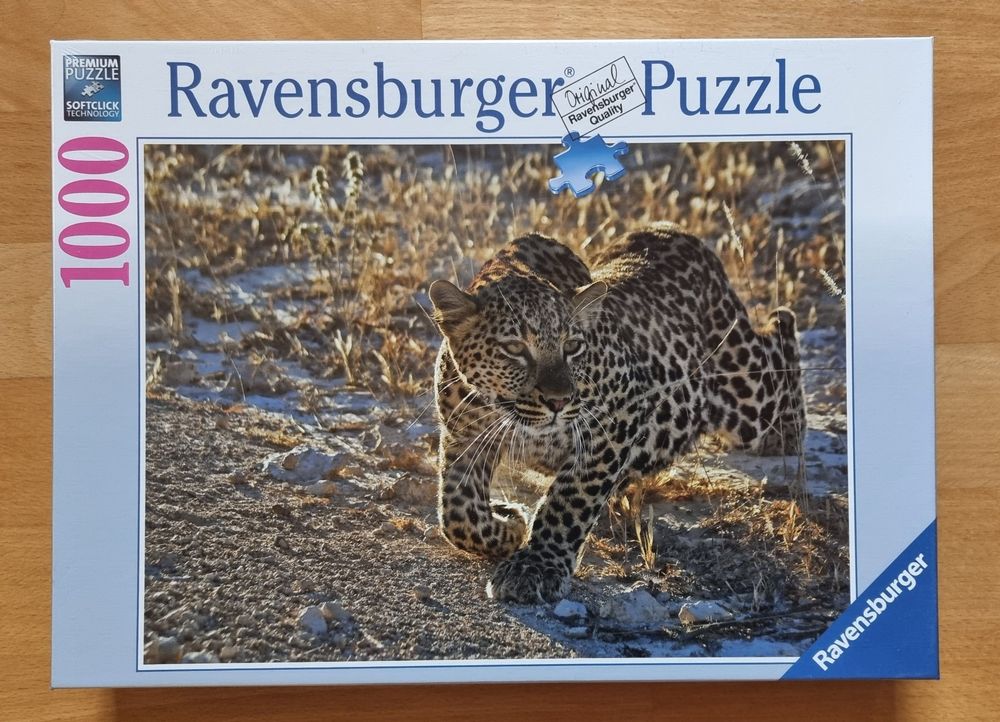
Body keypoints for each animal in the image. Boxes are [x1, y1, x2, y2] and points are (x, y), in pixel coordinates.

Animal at [428, 222, 806, 604]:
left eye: (572, 346)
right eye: (514, 348)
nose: (559, 401)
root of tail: (670, 229)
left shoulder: (614, 420)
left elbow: (568, 501)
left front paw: (535, 566)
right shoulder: (463, 433)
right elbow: (456, 511)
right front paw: (508, 525)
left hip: (747, 393)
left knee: (778, 341)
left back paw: (785, 428)